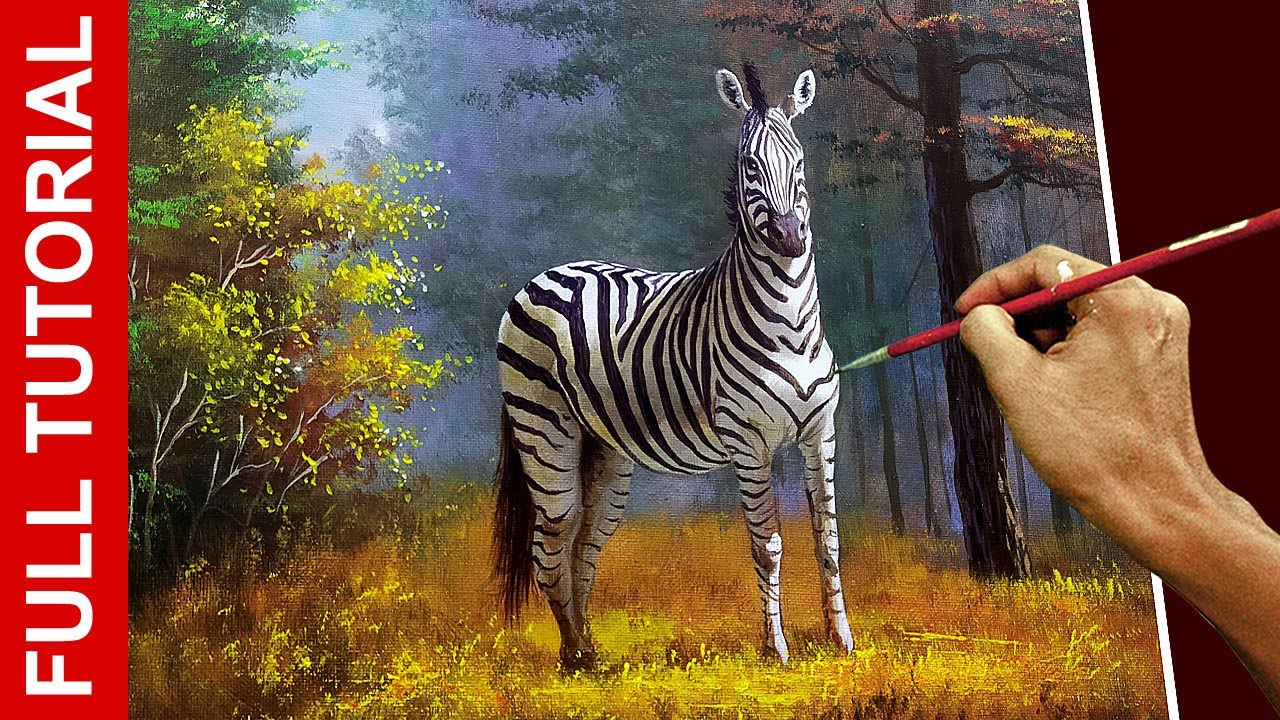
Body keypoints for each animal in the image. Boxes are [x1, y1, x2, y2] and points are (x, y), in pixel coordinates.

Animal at [492, 62, 854, 668]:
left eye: (799, 162)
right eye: (749, 167)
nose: (787, 239)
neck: (791, 324)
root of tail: (544, 275)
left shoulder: (819, 433)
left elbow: (826, 538)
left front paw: (843, 641)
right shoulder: (748, 442)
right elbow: (768, 546)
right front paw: (776, 651)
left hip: (606, 453)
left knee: (585, 546)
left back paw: (591, 652)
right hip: (543, 433)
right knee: (551, 545)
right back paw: (574, 656)